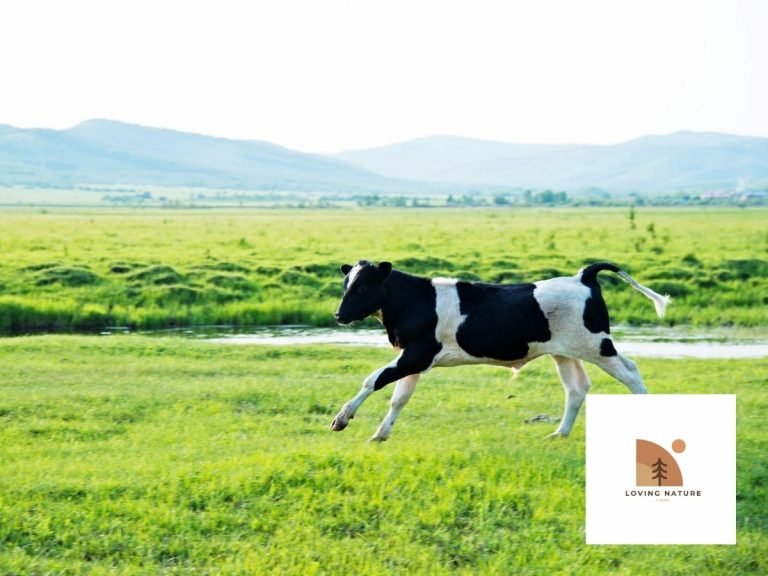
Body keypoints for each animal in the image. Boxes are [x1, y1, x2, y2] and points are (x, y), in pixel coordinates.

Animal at [330, 260, 670, 442]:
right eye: (346, 284)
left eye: (362, 287)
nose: (338, 315)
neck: (414, 300)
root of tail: (582, 276)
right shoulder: (415, 358)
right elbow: (399, 398)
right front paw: (380, 434)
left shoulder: (416, 354)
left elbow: (373, 380)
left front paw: (342, 418)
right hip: (565, 351)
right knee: (577, 388)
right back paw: (559, 433)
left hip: (598, 344)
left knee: (631, 372)